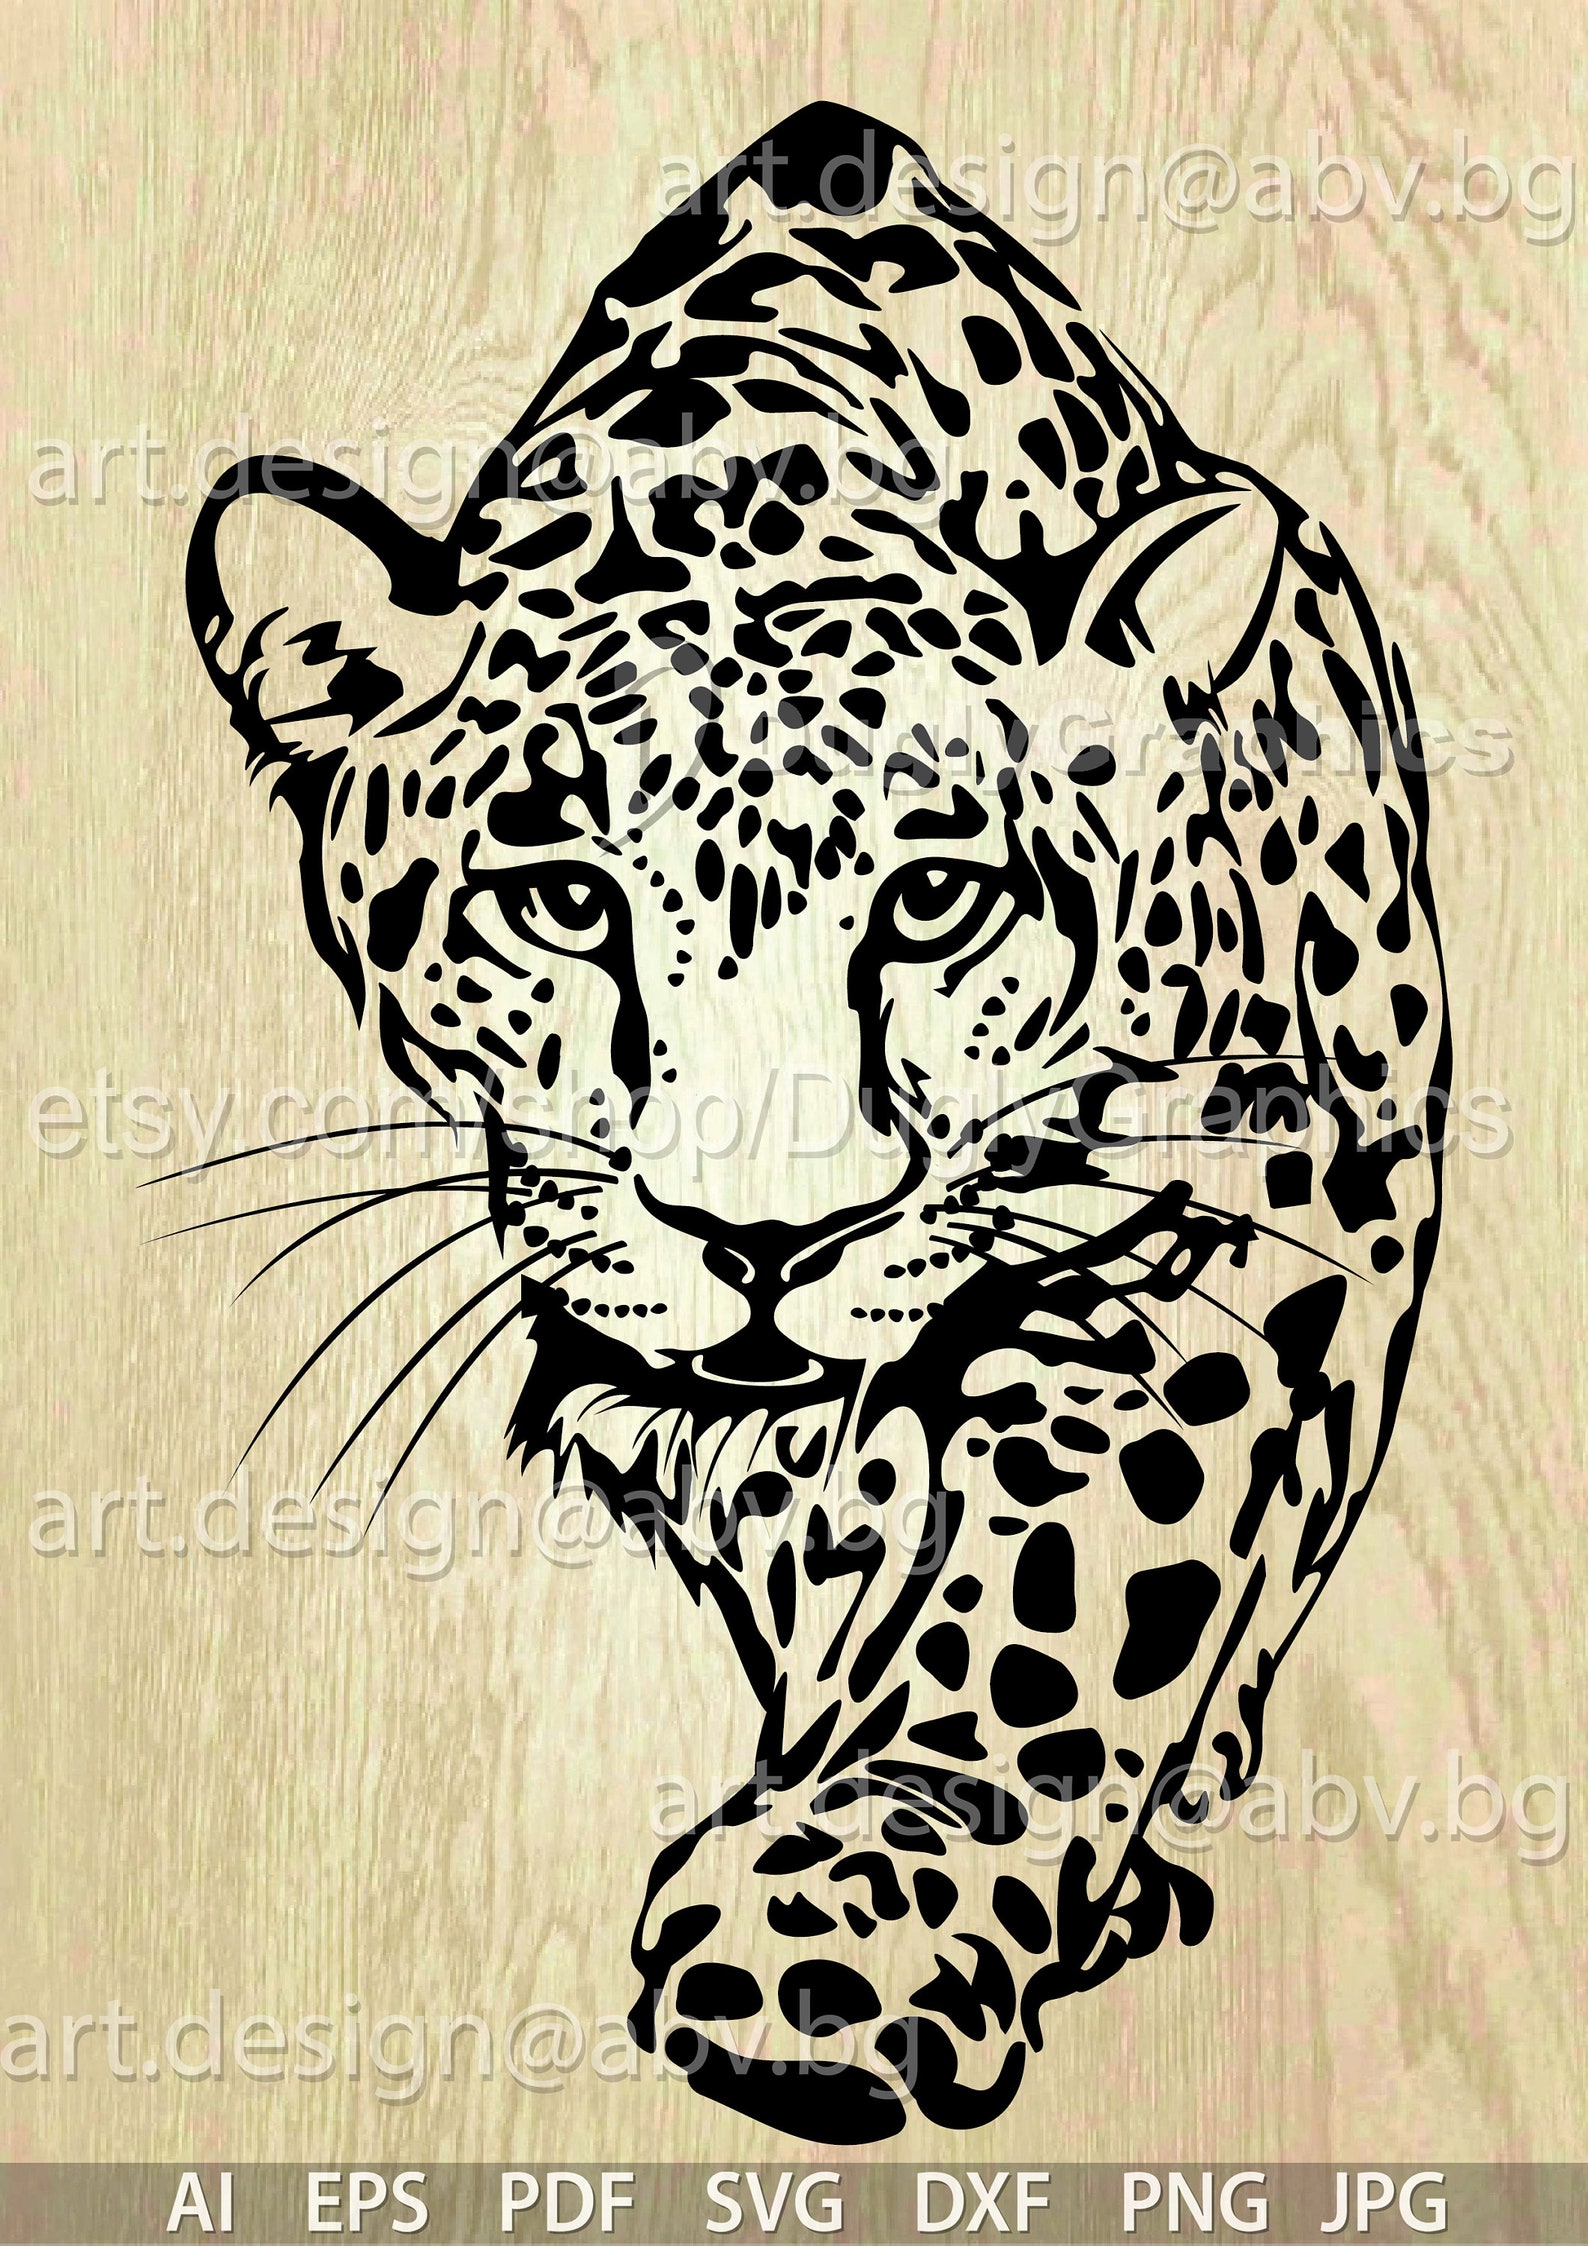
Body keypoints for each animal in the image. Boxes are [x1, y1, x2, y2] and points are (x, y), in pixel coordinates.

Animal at [185, 102, 1449, 2139]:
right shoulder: (650, 1366)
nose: (765, 1242)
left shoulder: (1247, 1204)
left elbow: (1058, 1579)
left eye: (937, 901)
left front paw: (838, 1929)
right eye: (564, 898)